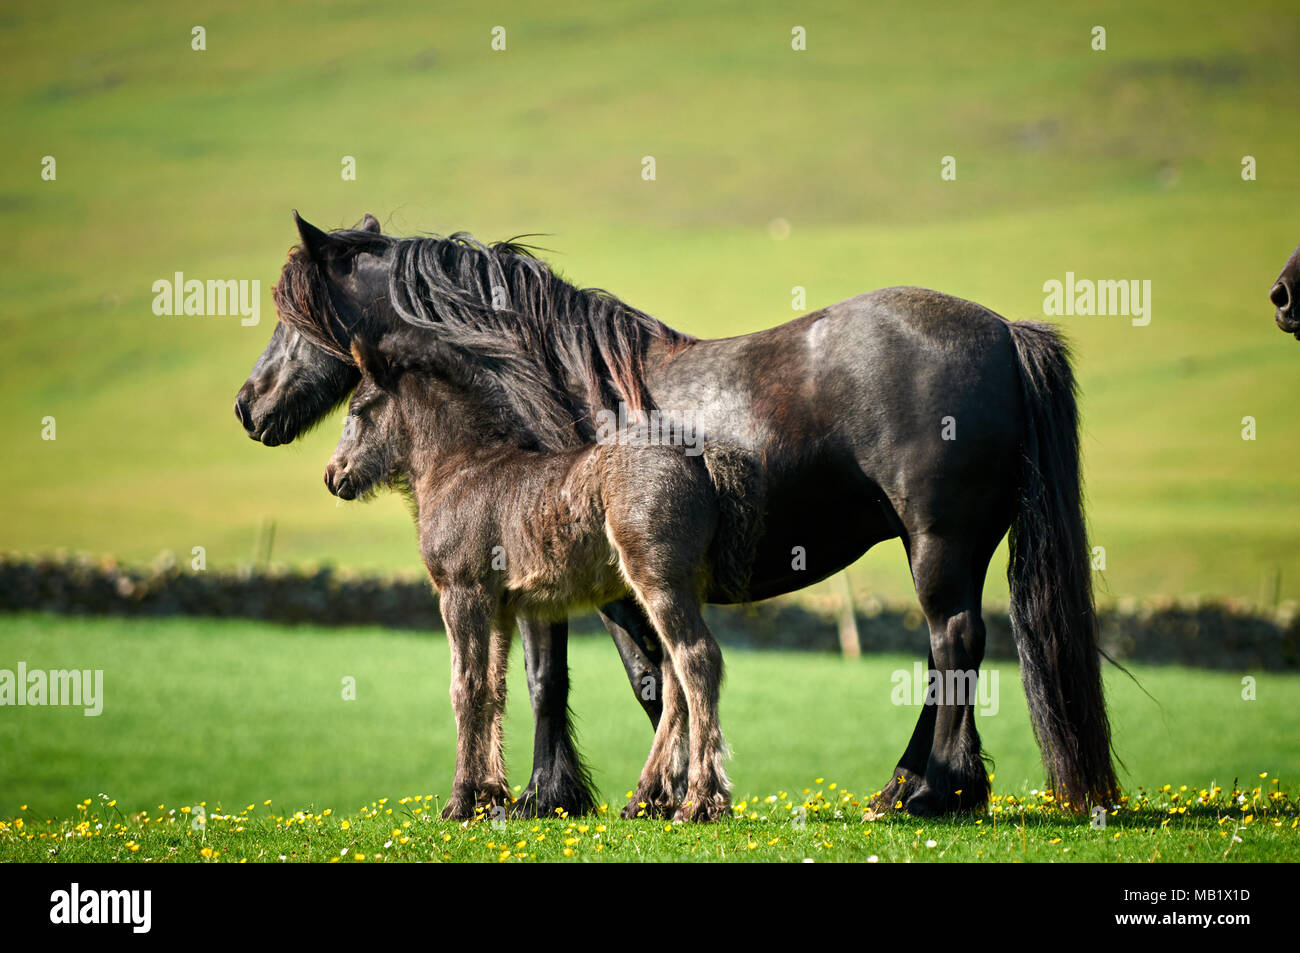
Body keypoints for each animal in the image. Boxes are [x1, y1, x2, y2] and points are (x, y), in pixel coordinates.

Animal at [322, 330, 760, 820]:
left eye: (358, 410)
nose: (333, 475)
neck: (458, 468)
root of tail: (702, 460)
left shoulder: (461, 591)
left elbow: (465, 687)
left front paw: (459, 802)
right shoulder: (499, 604)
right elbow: (494, 688)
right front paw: (490, 796)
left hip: (658, 579)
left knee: (697, 659)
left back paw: (700, 800)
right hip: (682, 586)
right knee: (672, 674)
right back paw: (649, 796)